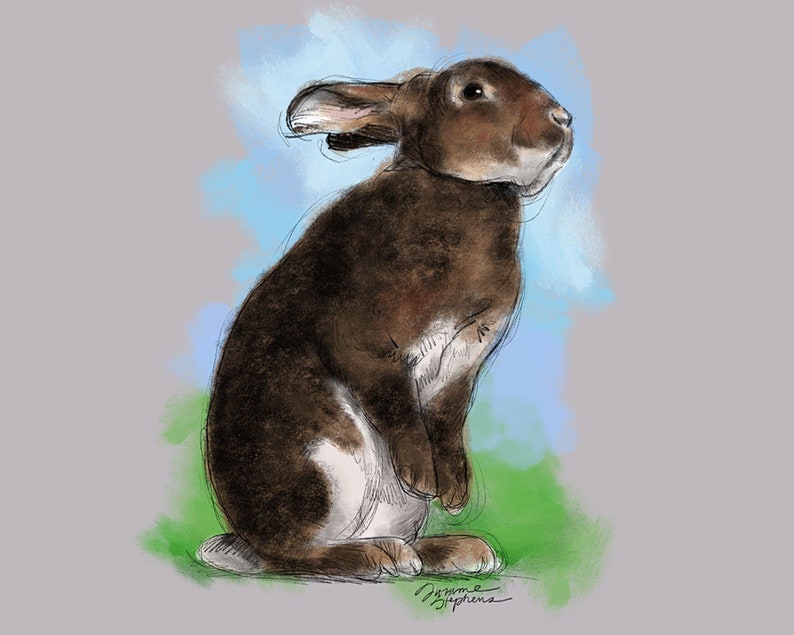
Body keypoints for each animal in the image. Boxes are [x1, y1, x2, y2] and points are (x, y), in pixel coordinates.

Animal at [198, 58, 573, 580]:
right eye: (472, 91)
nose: (563, 119)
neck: (457, 187)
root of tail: (244, 540)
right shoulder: (368, 346)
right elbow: (396, 405)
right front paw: (422, 476)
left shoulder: (465, 360)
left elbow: (448, 418)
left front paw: (453, 492)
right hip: (319, 473)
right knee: (294, 556)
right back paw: (376, 558)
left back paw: (459, 551)